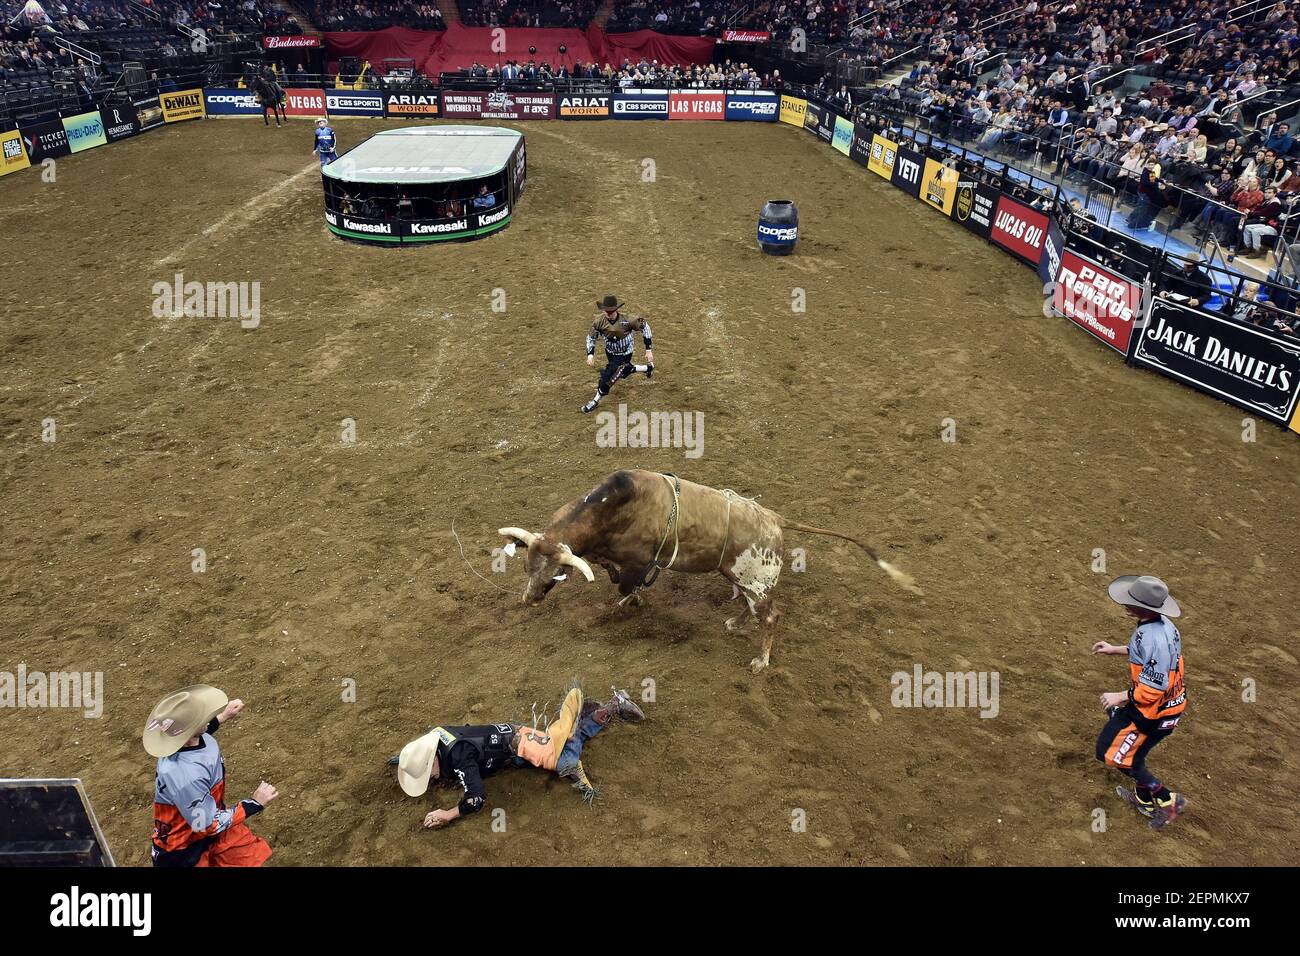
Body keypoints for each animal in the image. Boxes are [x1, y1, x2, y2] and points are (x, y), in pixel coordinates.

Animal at [499, 469, 919, 672]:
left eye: (553, 575)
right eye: (526, 567)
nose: (529, 599)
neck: (611, 510)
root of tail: (775, 520)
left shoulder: (637, 563)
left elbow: (625, 589)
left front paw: (626, 607)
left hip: (758, 581)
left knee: (770, 616)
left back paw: (761, 660)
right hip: (739, 577)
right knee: (748, 606)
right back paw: (736, 623)